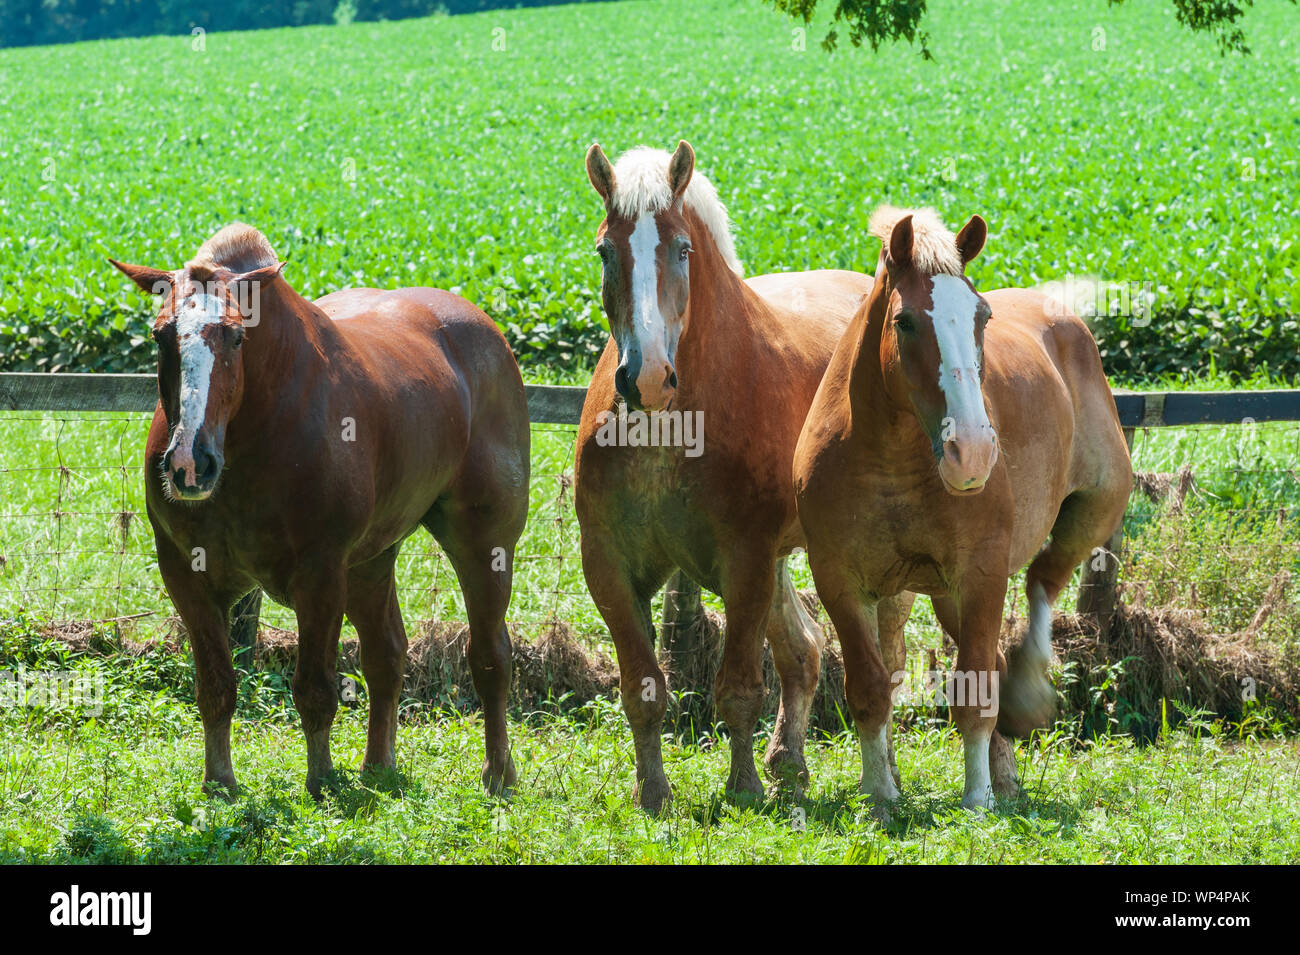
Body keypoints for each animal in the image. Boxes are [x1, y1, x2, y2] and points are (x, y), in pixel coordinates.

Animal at [110, 224, 530, 798]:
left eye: (236, 337)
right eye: (159, 336)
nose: (190, 464)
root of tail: (485, 333)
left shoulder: (322, 575)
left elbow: (314, 688)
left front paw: (322, 780)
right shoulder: (187, 577)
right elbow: (216, 687)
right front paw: (220, 782)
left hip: (484, 544)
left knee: (490, 657)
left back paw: (498, 773)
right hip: (372, 562)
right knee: (386, 656)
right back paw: (378, 766)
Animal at [574, 140, 915, 814]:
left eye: (683, 250)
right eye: (605, 250)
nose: (646, 377)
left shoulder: (746, 561)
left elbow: (737, 688)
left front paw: (743, 788)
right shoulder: (610, 567)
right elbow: (642, 689)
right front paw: (653, 793)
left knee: (881, 661)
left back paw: (877, 772)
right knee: (804, 652)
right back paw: (790, 764)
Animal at [792, 206, 1132, 820]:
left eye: (982, 316)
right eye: (905, 321)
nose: (971, 451)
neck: (890, 457)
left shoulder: (980, 573)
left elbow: (975, 691)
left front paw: (976, 801)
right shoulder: (841, 581)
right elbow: (870, 689)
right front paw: (880, 794)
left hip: (1091, 514)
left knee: (1042, 585)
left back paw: (1025, 703)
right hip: (947, 595)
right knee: (997, 649)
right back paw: (1007, 777)